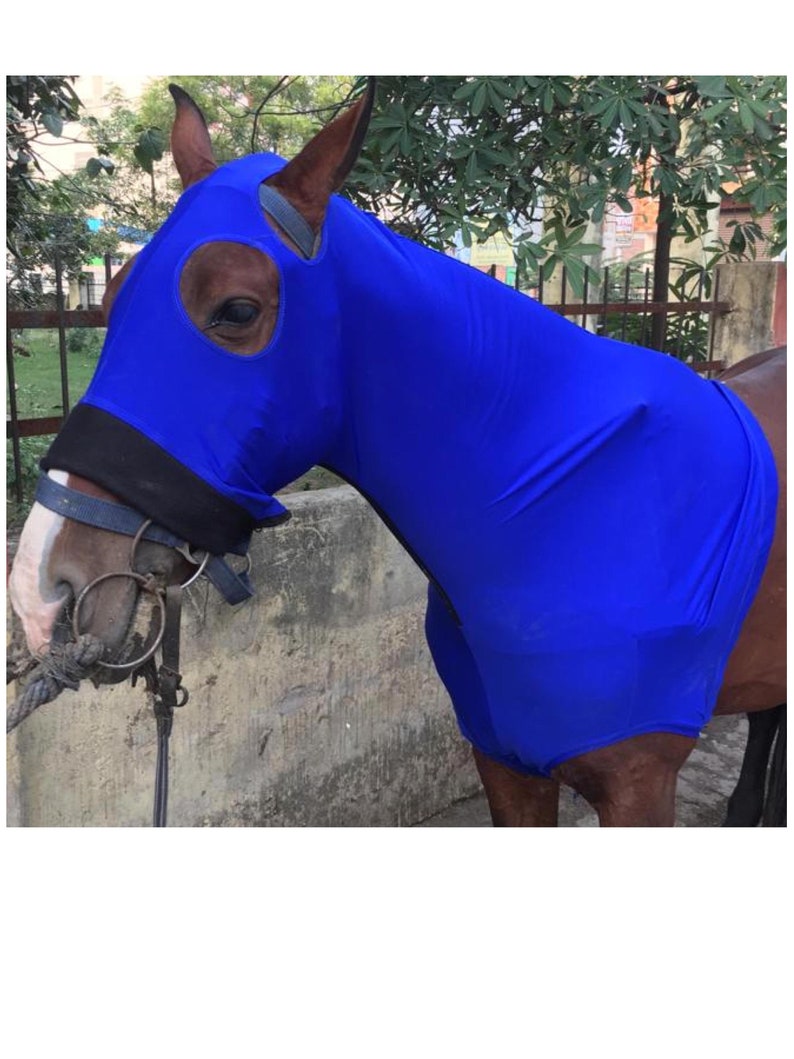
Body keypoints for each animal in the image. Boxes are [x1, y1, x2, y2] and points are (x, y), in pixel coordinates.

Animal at [8, 81, 786, 827]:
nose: (42, 591)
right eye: (111, 295)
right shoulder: (505, 763)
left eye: (236, 310)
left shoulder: (638, 787)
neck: (574, 503)